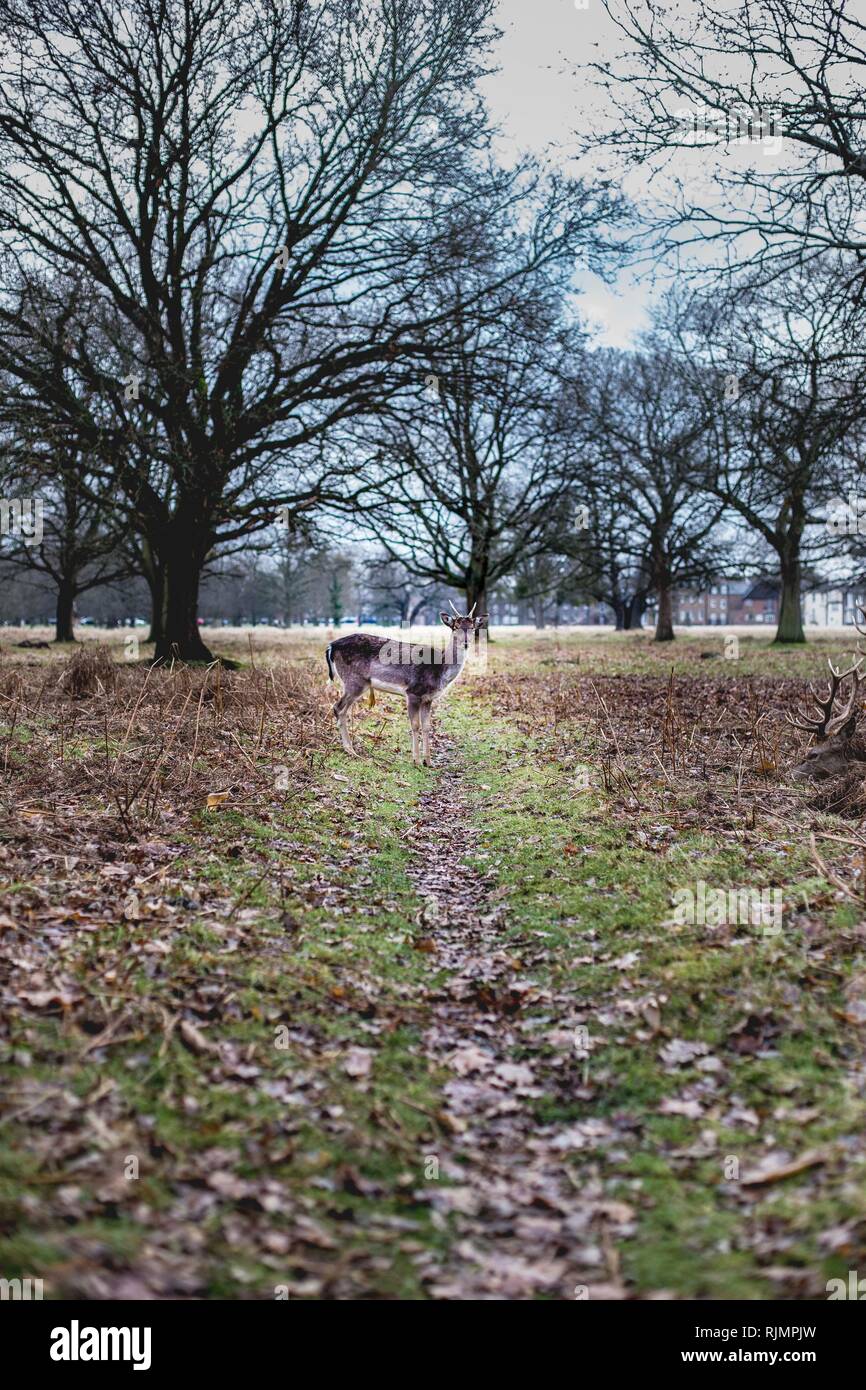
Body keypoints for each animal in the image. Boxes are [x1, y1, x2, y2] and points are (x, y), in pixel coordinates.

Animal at [325, 603, 488, 765]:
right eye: (455, 627)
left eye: (473, 627)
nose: (466, 643)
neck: (440, 670)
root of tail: (331, 646)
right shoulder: (413, 692)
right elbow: (415, 725)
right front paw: (416, 761)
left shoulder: (428, 698)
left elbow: (427, 726)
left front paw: (429, 762)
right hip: (354, 681)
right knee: (338, 708)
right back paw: (350, 751)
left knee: (340, 709)